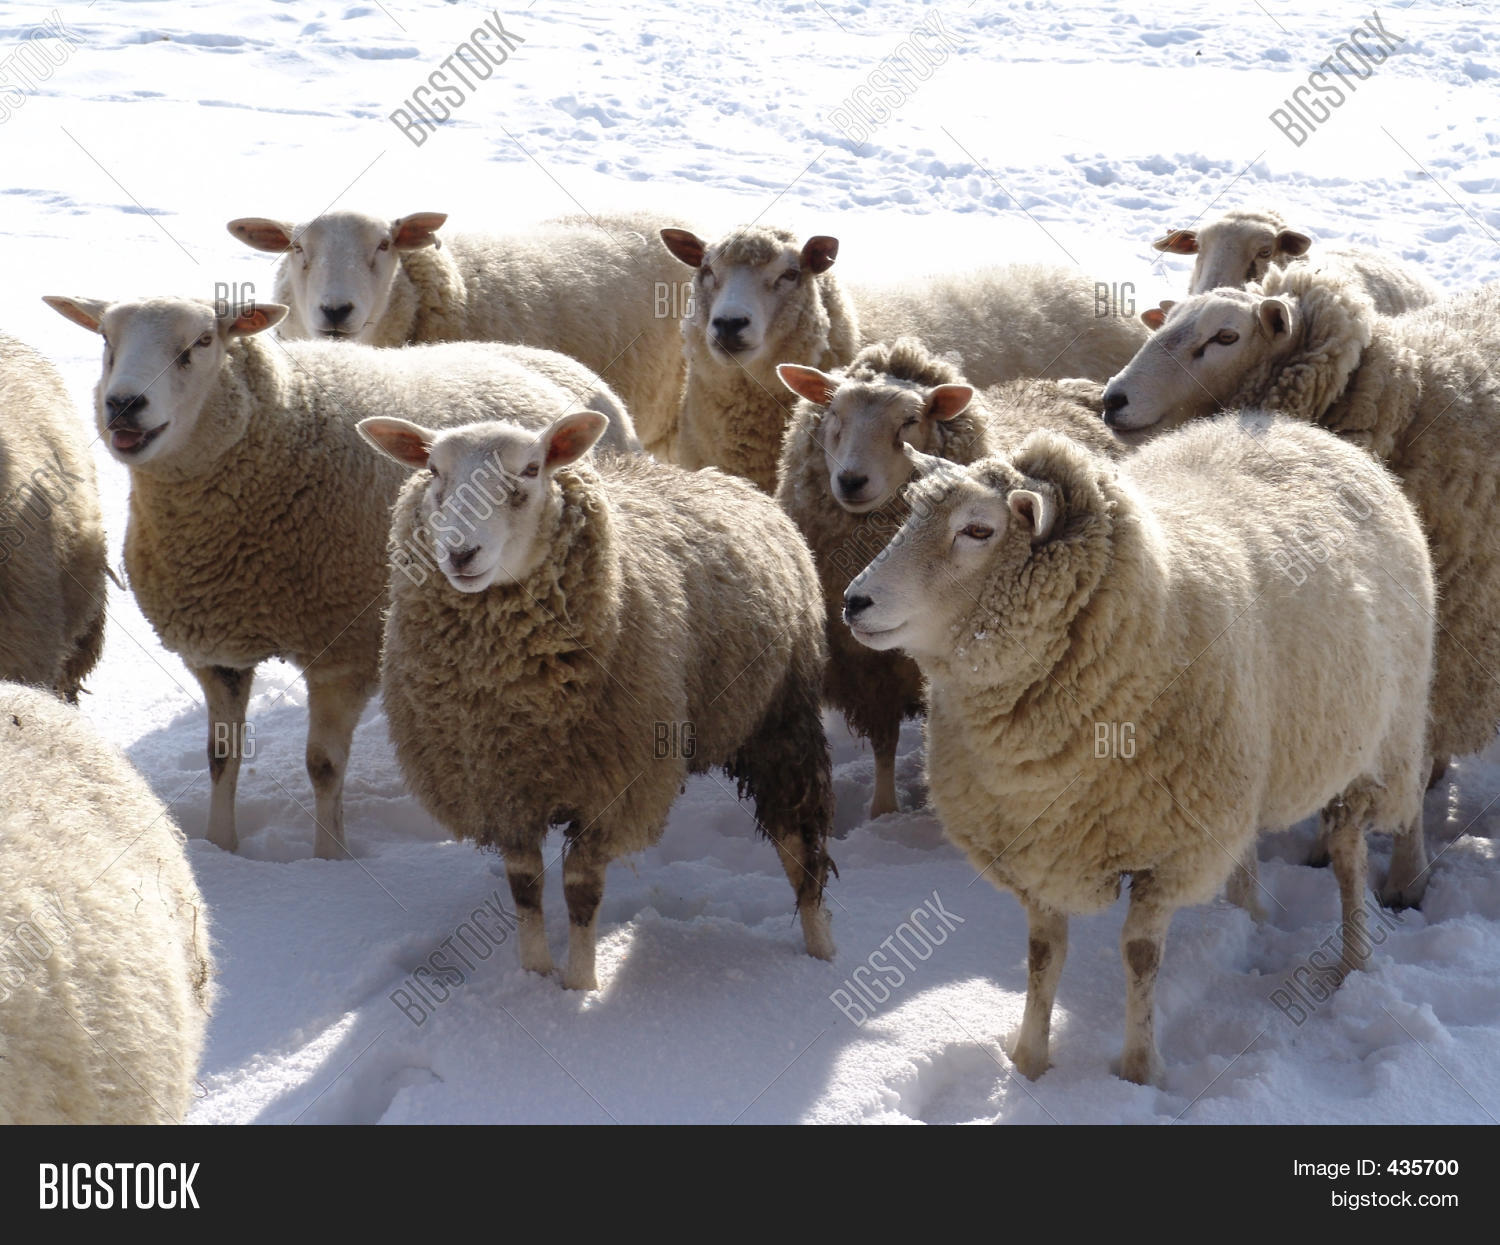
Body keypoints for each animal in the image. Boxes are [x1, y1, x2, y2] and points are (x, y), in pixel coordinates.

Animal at [43, 292, 636, 861]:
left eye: (203, 341)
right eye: (105, 338)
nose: (123, 404)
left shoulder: (343, 652)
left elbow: (322, 766)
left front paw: (329, 860)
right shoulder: (217, 650)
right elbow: (220, 757)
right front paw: (221, 846)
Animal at [359, 409, 836, 990]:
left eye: (532, 469)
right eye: (431, 469)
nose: (460, 554)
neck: (512, 700)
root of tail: (724, 479)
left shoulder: (611, 786)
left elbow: (581, 890)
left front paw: (578, 986)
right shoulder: (503, 785)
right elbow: (525, 888)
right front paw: (535, 975)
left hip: (782, 719)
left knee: (801, 846)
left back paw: (821, 953)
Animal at [775, 337, 1124, 819]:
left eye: (910, 420)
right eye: (834, 414)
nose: (851, 480)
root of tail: (1059, 383)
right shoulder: (871, 670)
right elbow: (884, 743)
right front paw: (883, 809)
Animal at [843, 414, 1434, 1083]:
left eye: (978, 529)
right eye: (910, 514)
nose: (853, 602)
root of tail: (1299, 429)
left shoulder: (1171, 853)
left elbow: (1141, 954)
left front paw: (1138, 1069)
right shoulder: (1036, 848)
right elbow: (1043, 955)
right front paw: (1028, 1063)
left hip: (1381, 744)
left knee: (1347, 852)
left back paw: (1354, 960)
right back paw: (1250, 913)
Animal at [1102, 266, 1500, 788]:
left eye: (1226, 337)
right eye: (1163, 325)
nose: (1112, 399)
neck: (1404, 404)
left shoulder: (1460, 623)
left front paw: (1430, 774)